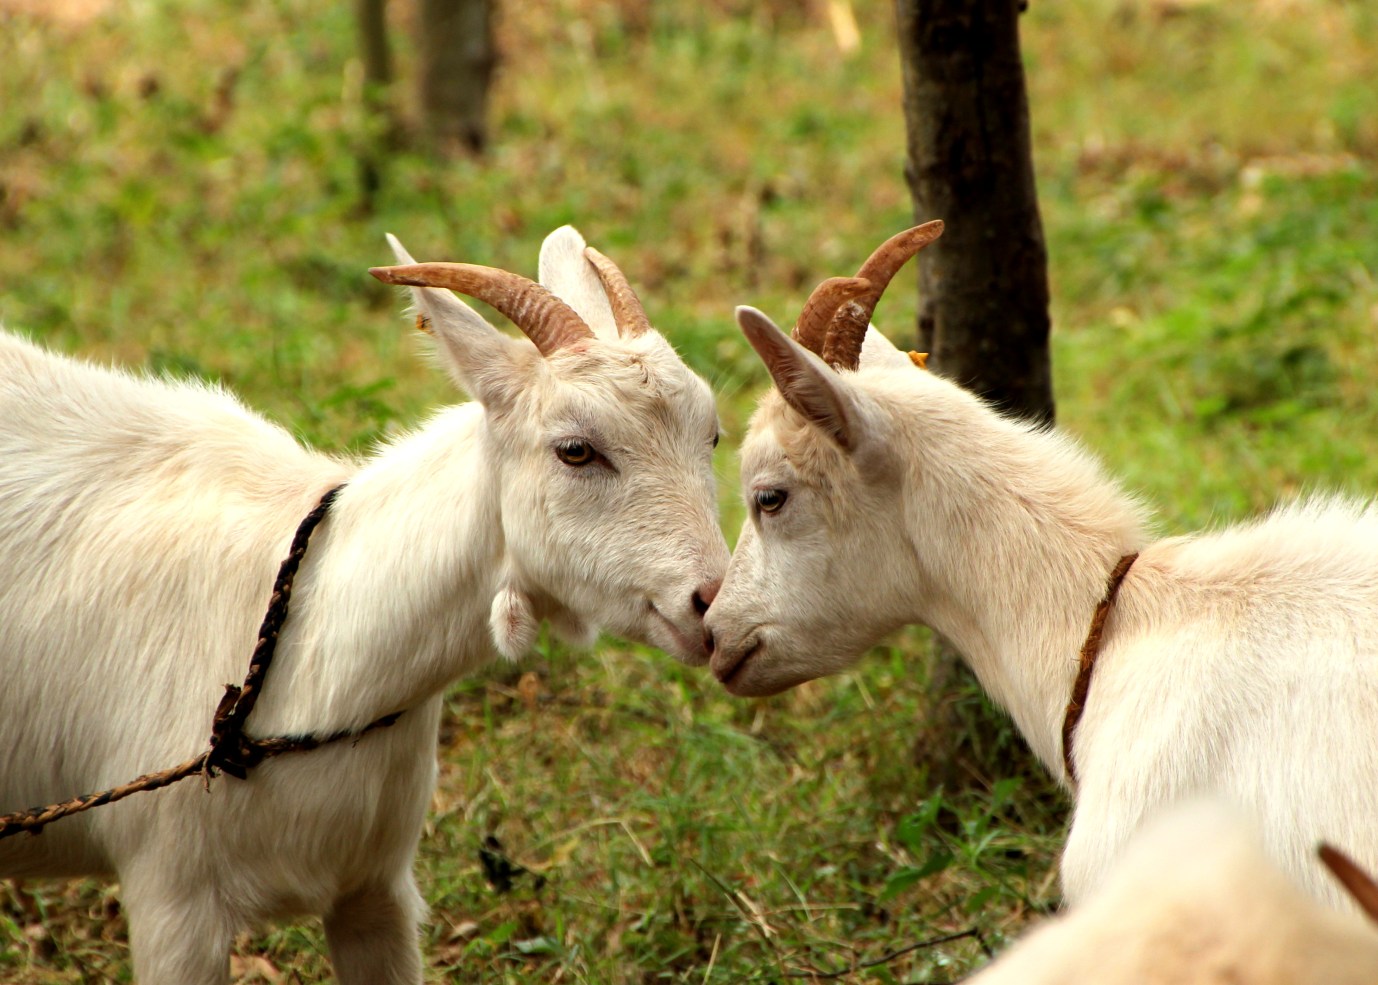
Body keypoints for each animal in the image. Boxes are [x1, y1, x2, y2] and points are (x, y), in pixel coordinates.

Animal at [0, 226, 728, 984]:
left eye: (711, 433)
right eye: (576, 449)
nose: (714, 603)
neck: (311, 652)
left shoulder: (375, 888)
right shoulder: (172, 896)